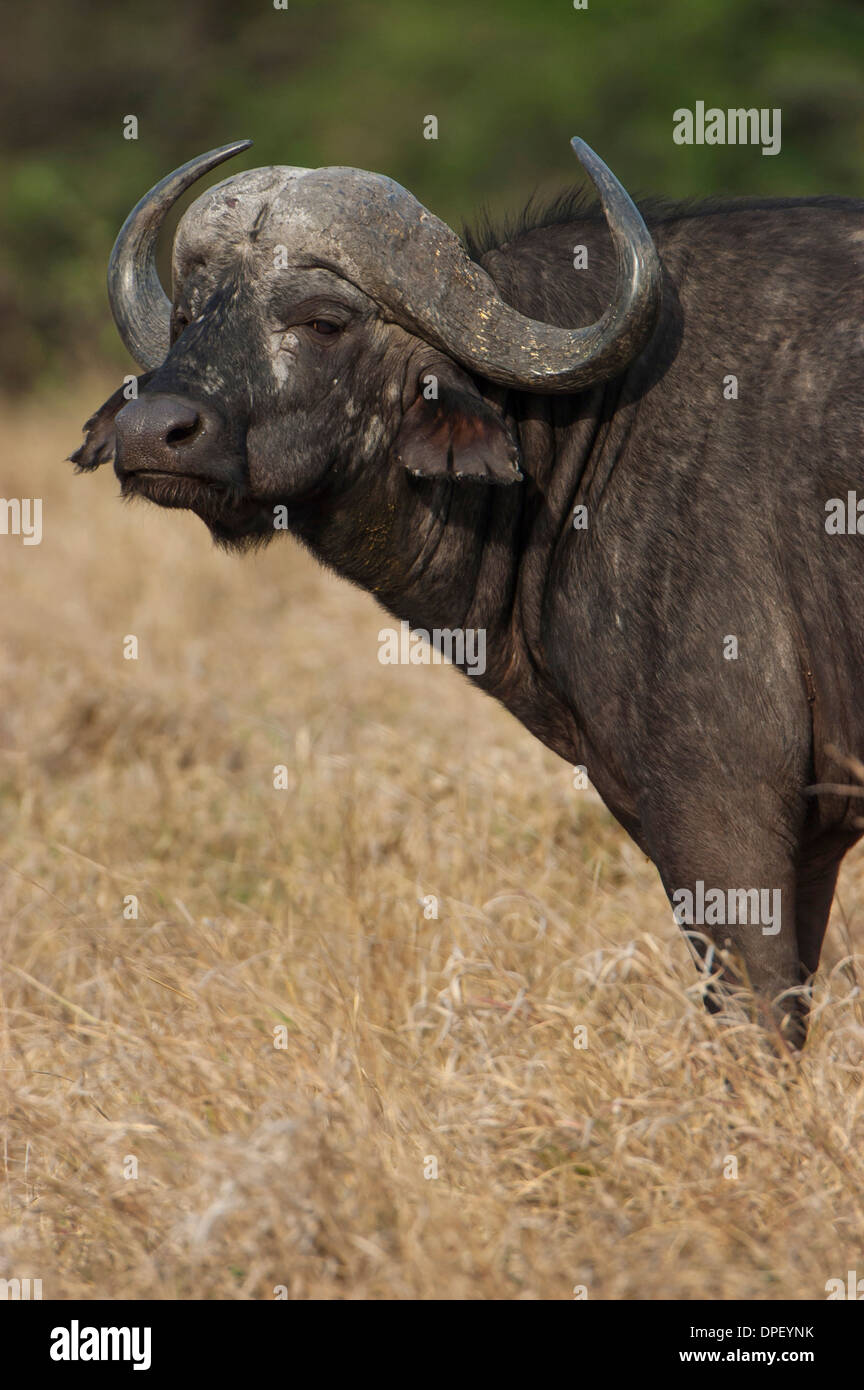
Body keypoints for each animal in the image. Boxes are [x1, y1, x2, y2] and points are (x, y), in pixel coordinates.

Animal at [73, 138, 864, 1048]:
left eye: (322, 321)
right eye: (185, 319)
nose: (151, 431)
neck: (588, 432)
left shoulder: (723, 814)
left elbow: (756, 1019)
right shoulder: (804, 843)